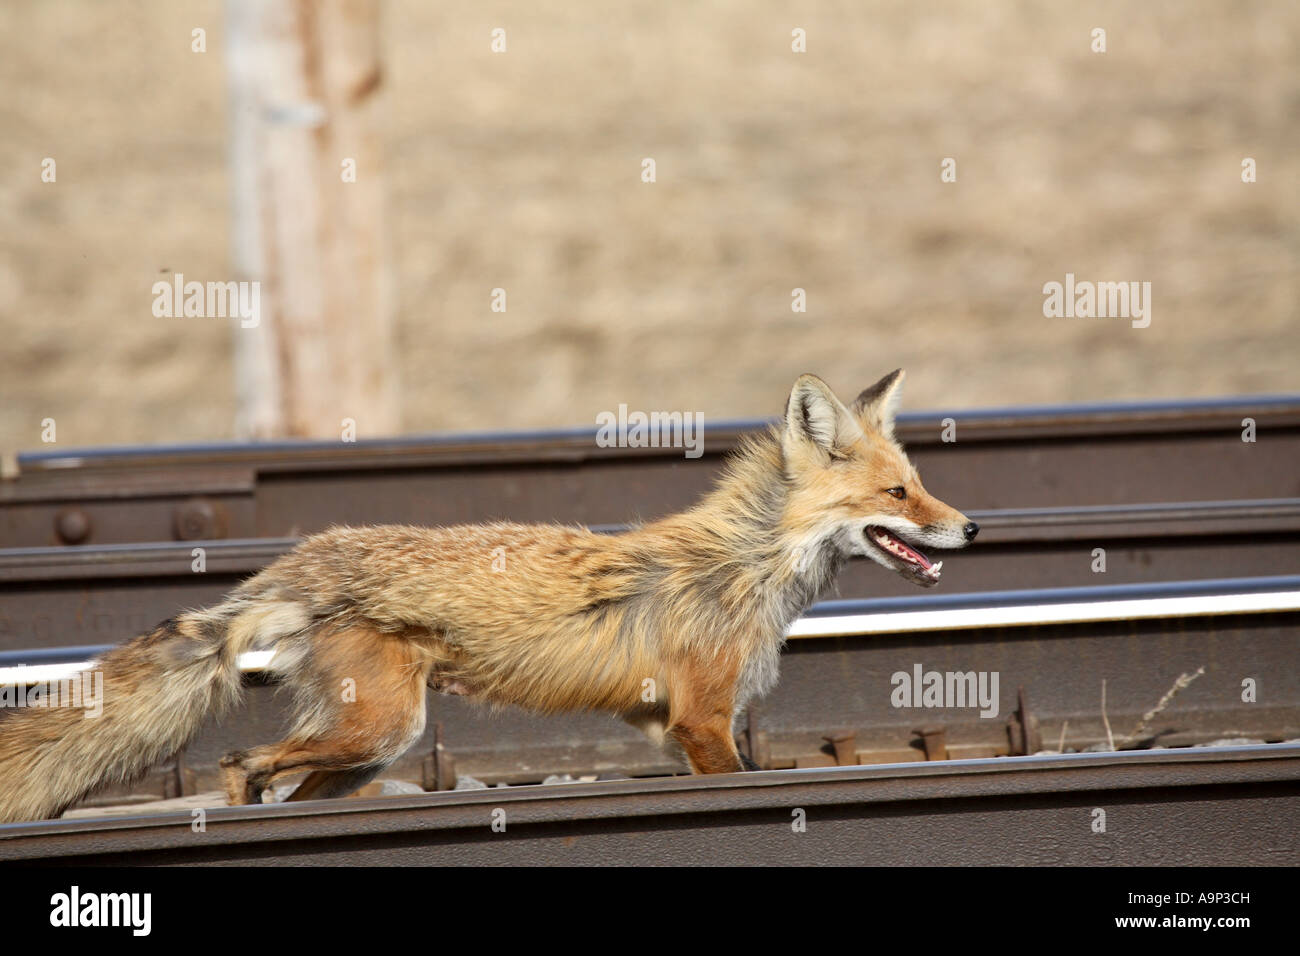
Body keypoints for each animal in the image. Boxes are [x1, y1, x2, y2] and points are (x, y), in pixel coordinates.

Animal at [0, 370, 977, 823]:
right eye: (899, 495)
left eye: (923, 486)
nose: (970, 530)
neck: (745, 565)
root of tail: (307, 555)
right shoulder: (701, 720)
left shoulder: (680, 728)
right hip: (378, 731)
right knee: (241, 764)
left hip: (367, 750)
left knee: (283, 781)